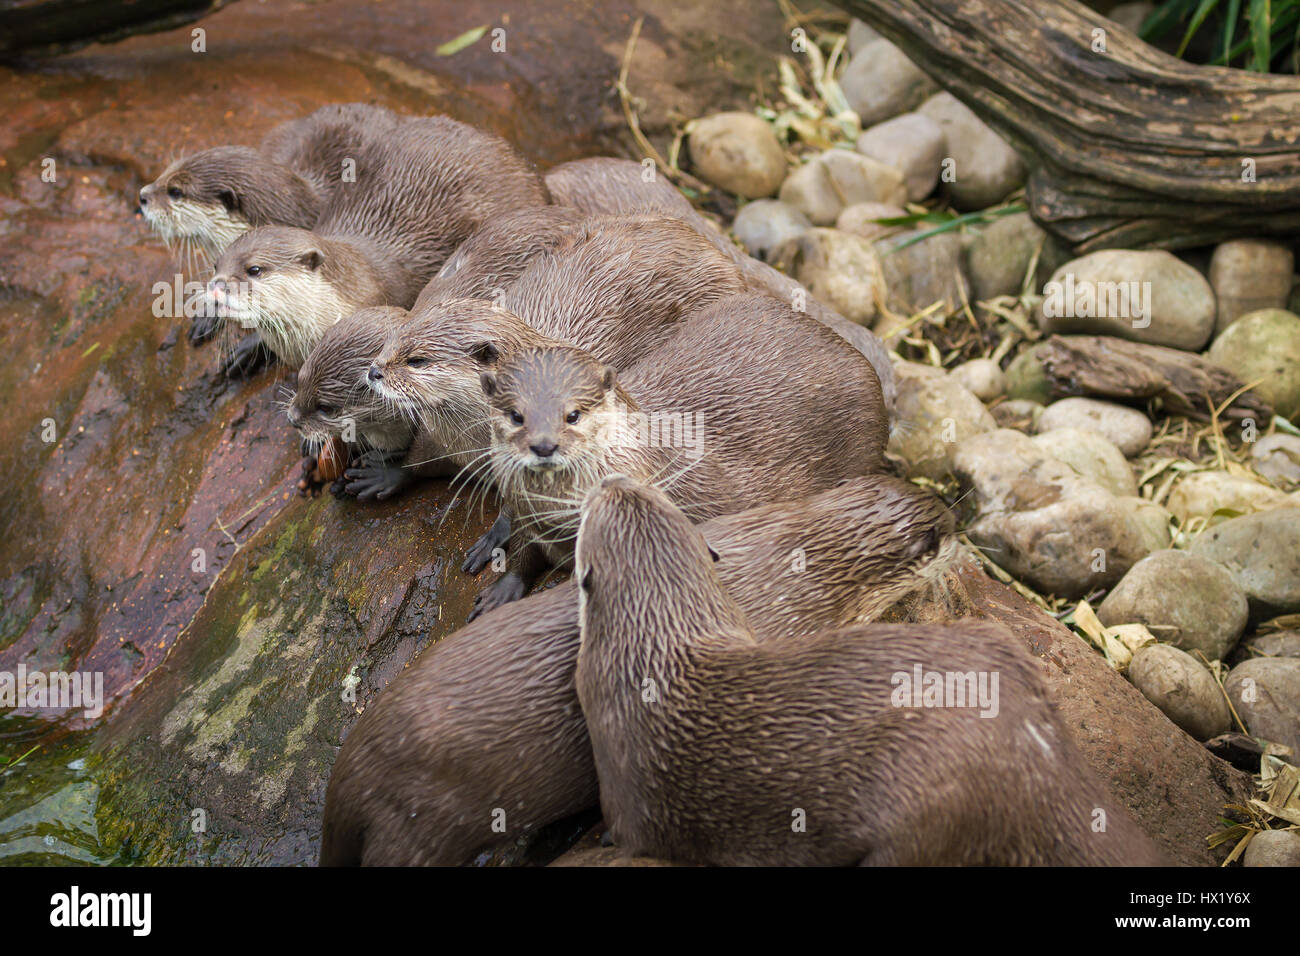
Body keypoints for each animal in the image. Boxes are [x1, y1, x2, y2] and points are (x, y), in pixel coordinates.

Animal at [470, 291, 888, 618]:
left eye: (573, 414)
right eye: (516, 415)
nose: (544, 445)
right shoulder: (527, 515)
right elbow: (522, 554)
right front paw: (501, 590)